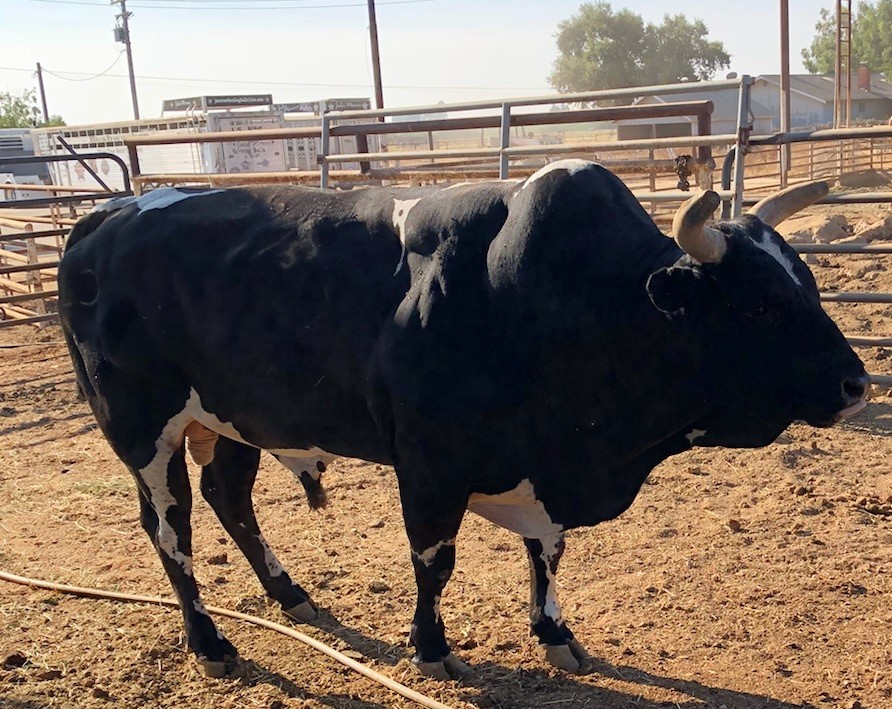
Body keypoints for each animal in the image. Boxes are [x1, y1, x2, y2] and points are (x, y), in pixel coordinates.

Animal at [58, 160, 868, 680]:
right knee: (170, 528)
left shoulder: (540, 472)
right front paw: (430, 646)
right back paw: (210, 640)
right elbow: (434, 562)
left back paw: (292, 596)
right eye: (760, 305)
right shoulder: (430, 466)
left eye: (807, 283)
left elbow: (547, 555)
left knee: (230, 498)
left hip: (239, 421)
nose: (857, 383)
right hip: (143, 429)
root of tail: (106, 215)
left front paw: (555, 634)